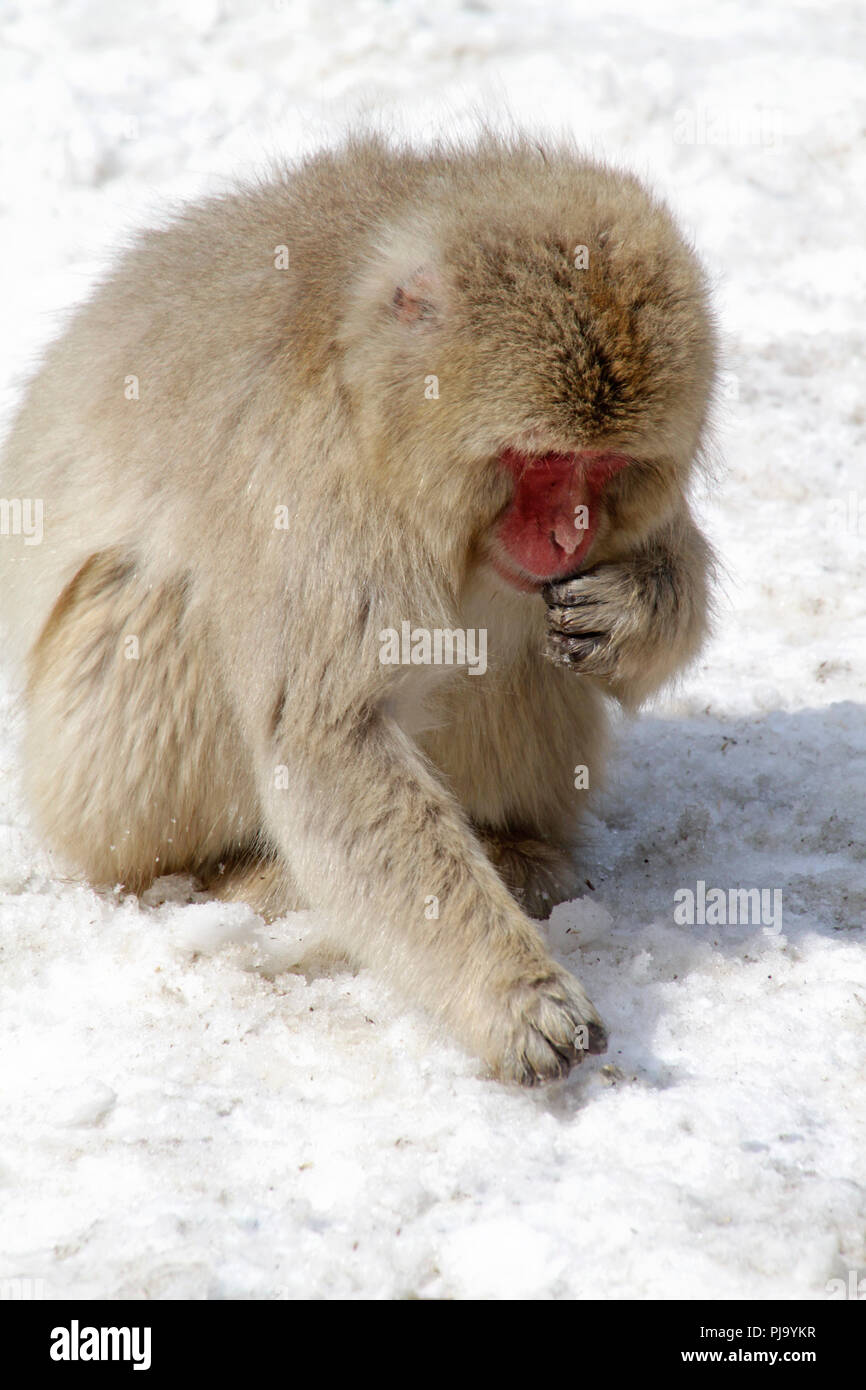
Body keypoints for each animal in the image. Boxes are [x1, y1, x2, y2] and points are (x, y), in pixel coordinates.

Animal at [0, 133, 716, 1085]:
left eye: (601, 465)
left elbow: (660, 580)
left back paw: (517, 846)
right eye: (538, 459)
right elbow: (327, 735)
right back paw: (222, 873)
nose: (569, 534)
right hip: (79, 792)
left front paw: (633, 607)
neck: (376, 404)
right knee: (155, 604)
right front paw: (517, 997)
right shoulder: (312, 482)